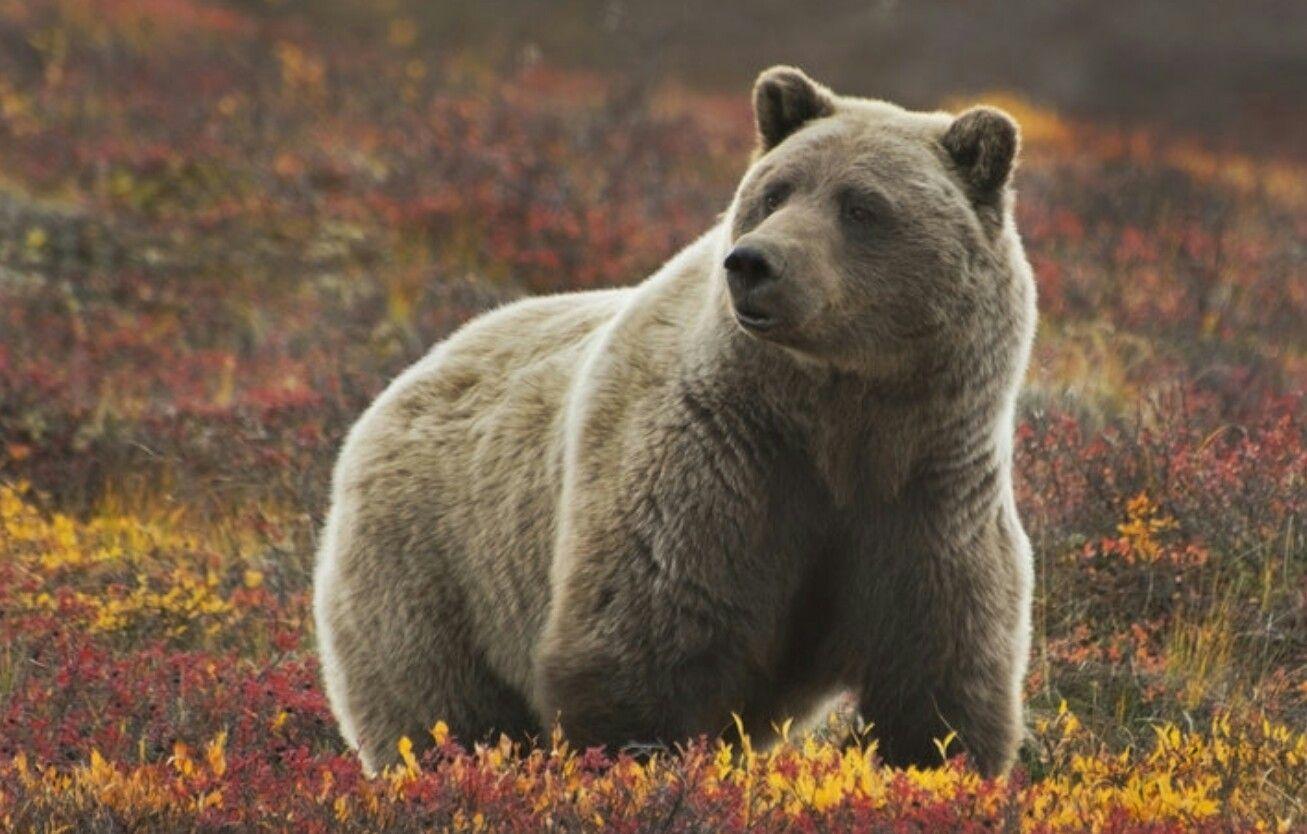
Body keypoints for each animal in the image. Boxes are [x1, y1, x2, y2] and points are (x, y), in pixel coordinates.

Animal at [313, 65, 1037, 778]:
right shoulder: (716, 463)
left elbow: (938, 676)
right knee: (440, 708)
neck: (837, 418)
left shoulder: (927, 492)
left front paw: (935, 762)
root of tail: (404, 379)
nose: (753, 262)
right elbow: (640, 647)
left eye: (860, 206)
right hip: (433, 565)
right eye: (774, 192)